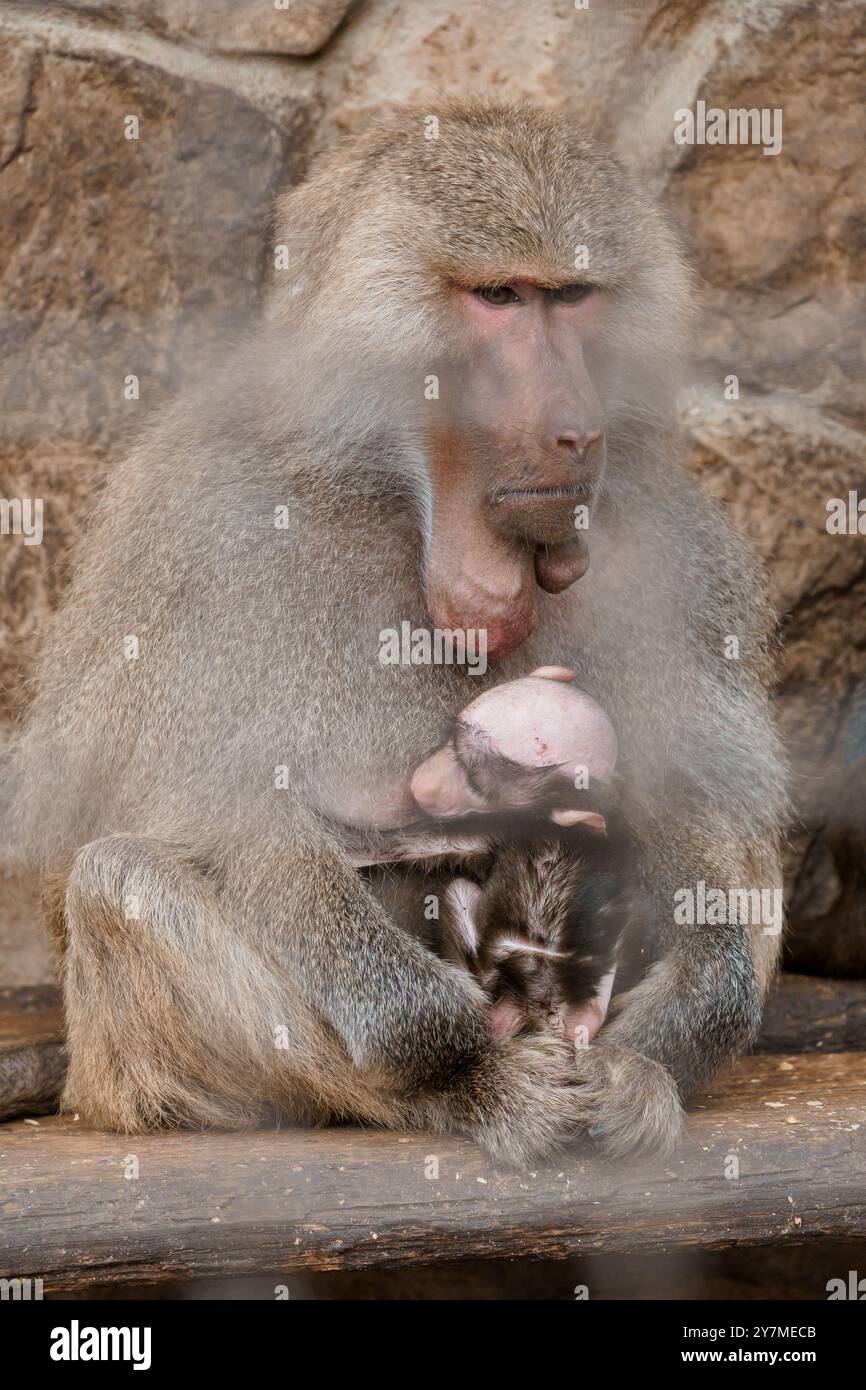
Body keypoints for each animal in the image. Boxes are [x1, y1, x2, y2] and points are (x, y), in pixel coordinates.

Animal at [1, 102, 787, 1163]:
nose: (576, 433)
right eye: (500, 295)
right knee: (119, 879)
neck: (405, 501)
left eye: (573, 296)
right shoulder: (207, 531)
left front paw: (674, 1028)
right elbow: (215, 810)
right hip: (126, 1064)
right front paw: (442, 1037)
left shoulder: (674, 558)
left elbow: (702, 820)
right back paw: (465, 1092)